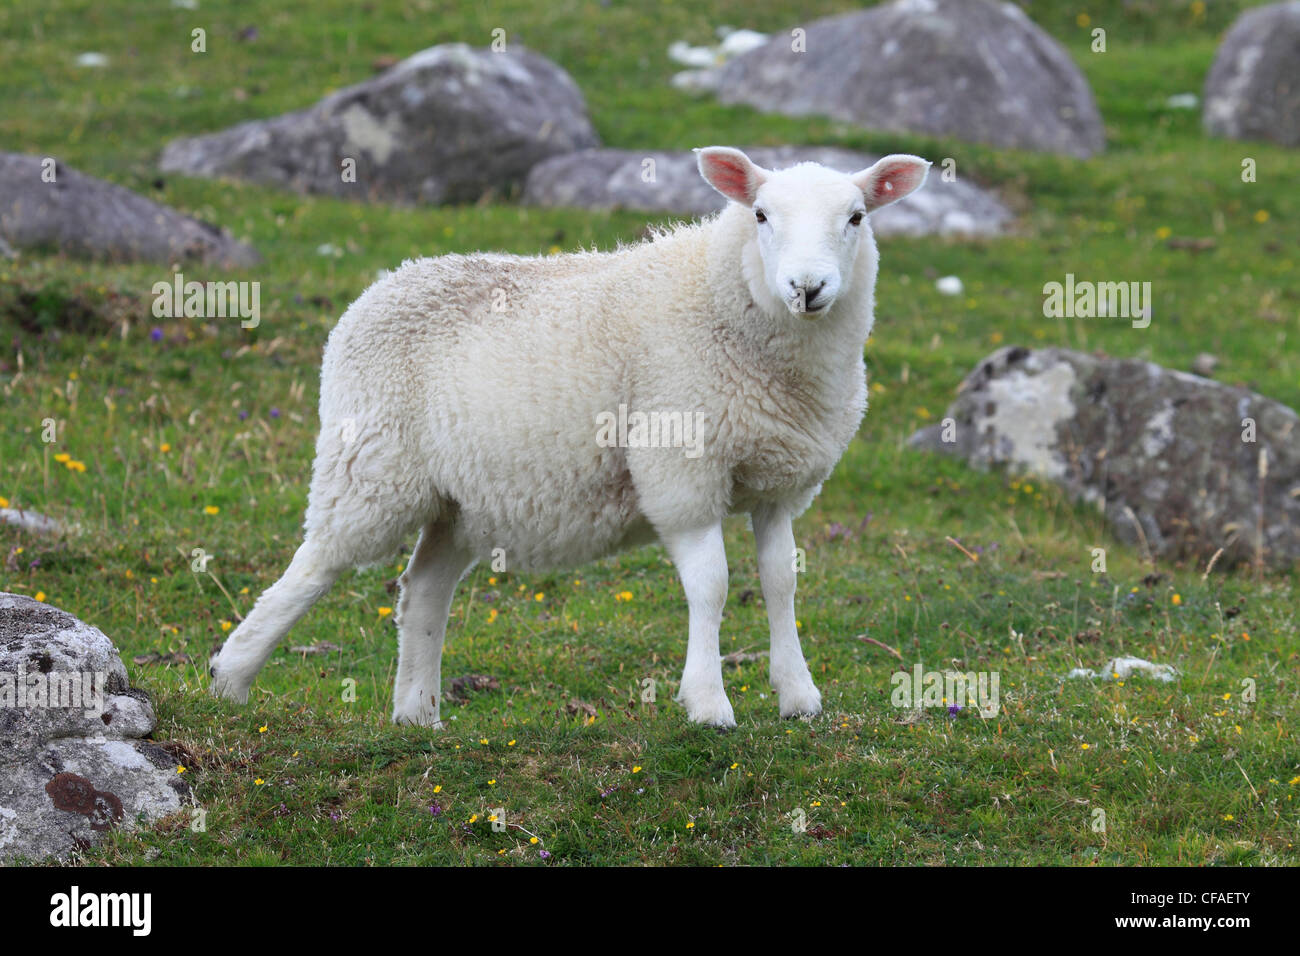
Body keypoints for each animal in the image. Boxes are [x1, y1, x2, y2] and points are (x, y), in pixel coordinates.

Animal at [209, 146, 930, 728]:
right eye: (759, 215)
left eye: (856, 217)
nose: (808, 287)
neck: (728, 299)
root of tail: (387, 283)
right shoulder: (681, 470)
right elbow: (713, 585)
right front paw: (708, 703)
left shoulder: (781, 481)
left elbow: (780, 582)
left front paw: (798, 696)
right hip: (371, 463)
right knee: (315, 564)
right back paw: (231, 677)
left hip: (461, 500)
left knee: (424, 586)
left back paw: (417, 713)